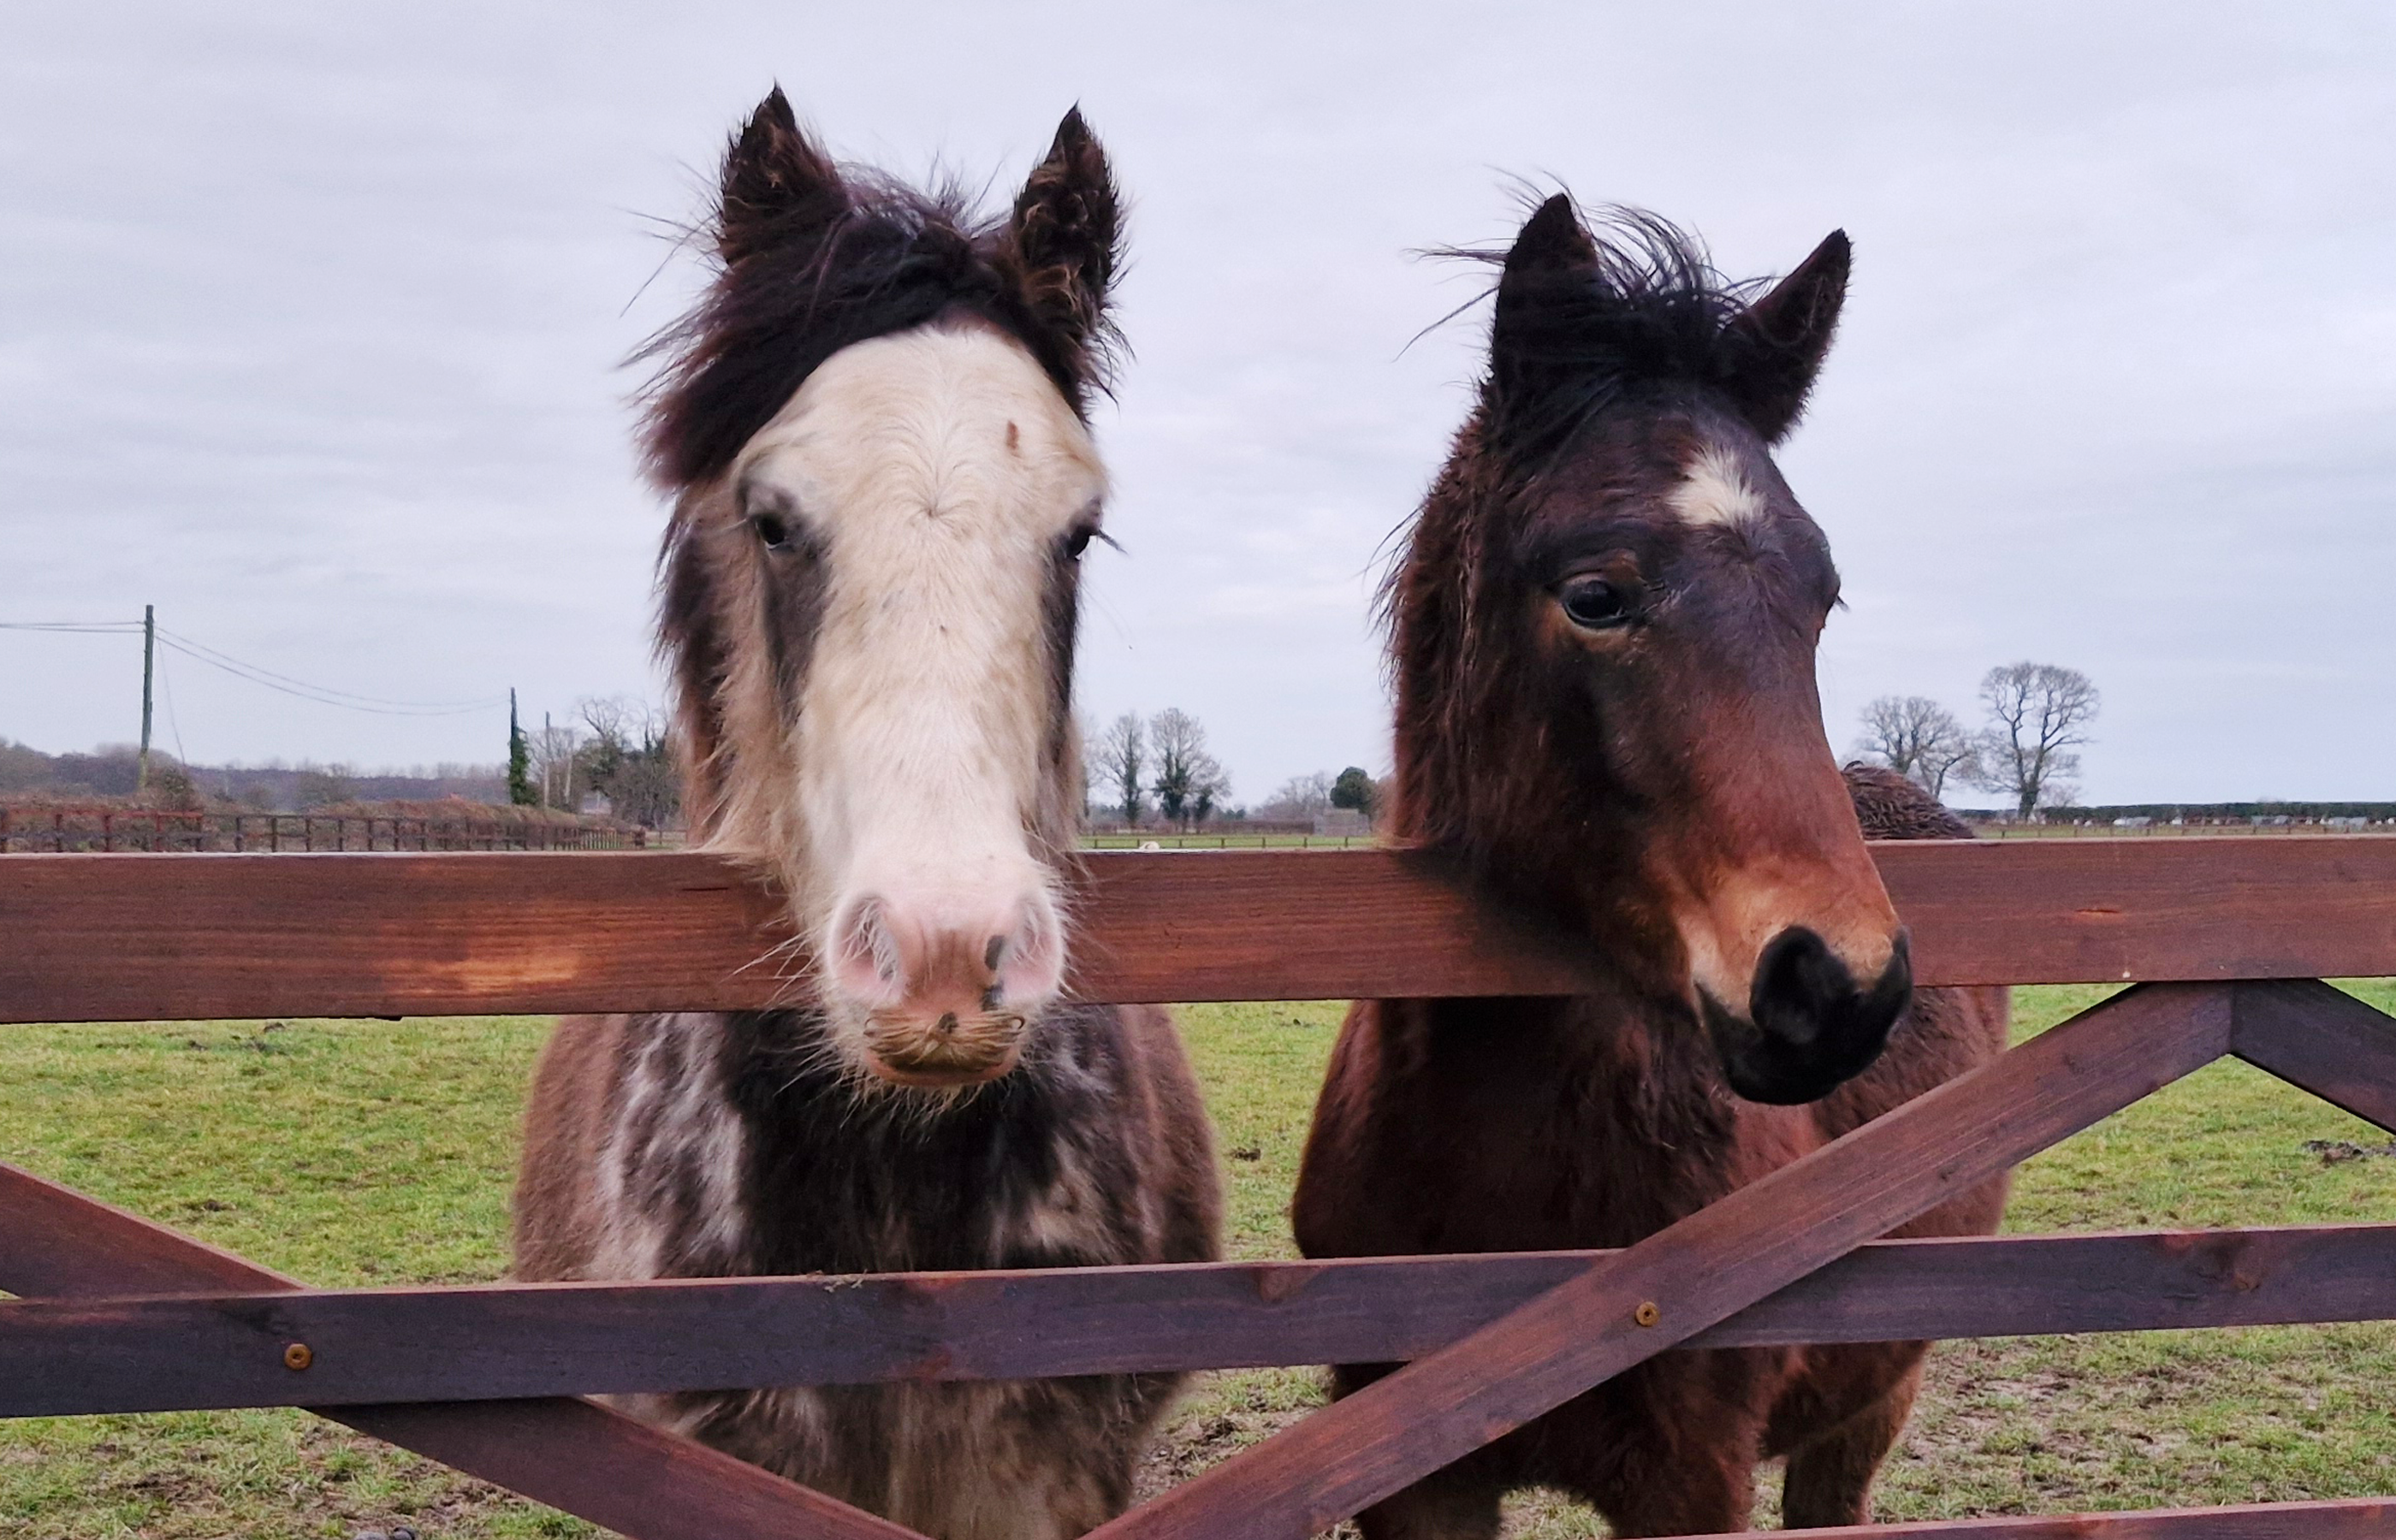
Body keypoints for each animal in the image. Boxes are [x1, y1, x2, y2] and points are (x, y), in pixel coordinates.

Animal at [1290, 197, 2009, 1537]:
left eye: (1821, 599)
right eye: (1594, 595)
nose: (1835, 987)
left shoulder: (1691, 1478)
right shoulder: (1411, 1471)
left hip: (1869, 1405)